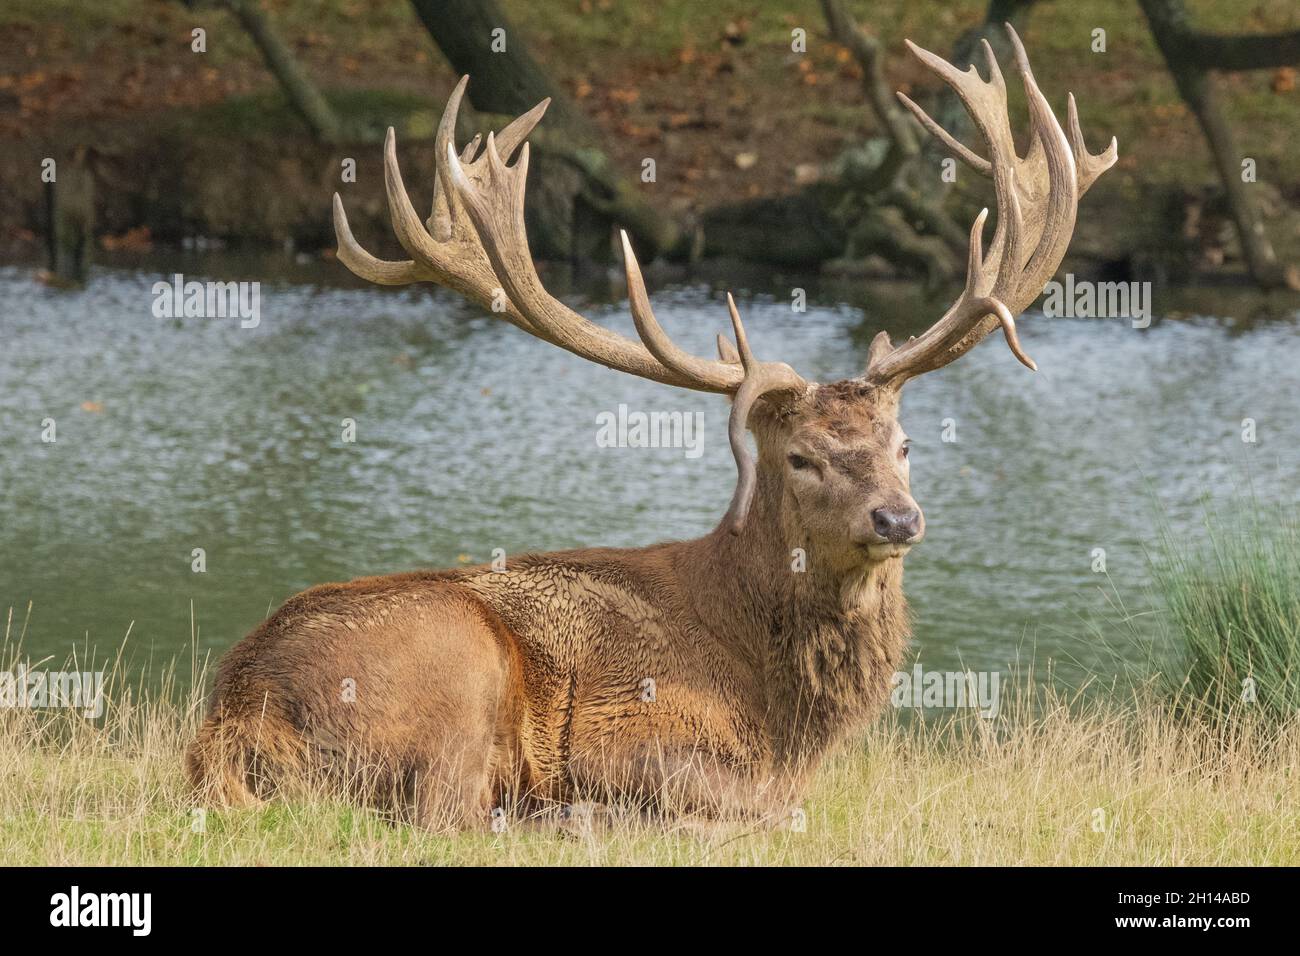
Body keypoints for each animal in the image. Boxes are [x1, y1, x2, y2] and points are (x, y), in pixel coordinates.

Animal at [187, 26, 1116, 829]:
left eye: (905, 445)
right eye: (801, 458)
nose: (897, 517)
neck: (784, 713)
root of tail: (233, 716)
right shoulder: (628, 730)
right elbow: (755, 807)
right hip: (457, 669)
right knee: (449, 813)